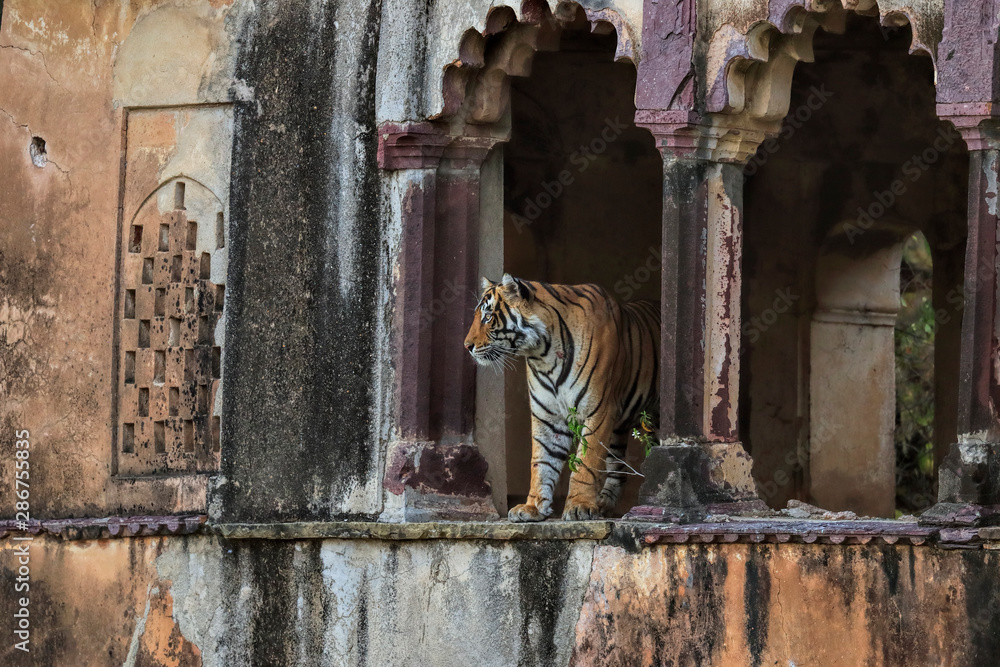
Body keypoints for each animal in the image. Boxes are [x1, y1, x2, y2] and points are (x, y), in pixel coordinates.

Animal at [464, 273, 660, 521]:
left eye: (488, 317)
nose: (467, 346)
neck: (543, 354)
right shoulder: (547, 416)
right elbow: (542, 462)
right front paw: (532, 507)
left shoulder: (598, 410)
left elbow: (587, 461)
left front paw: (579, 506)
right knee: (617, 467)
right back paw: (603, 504)